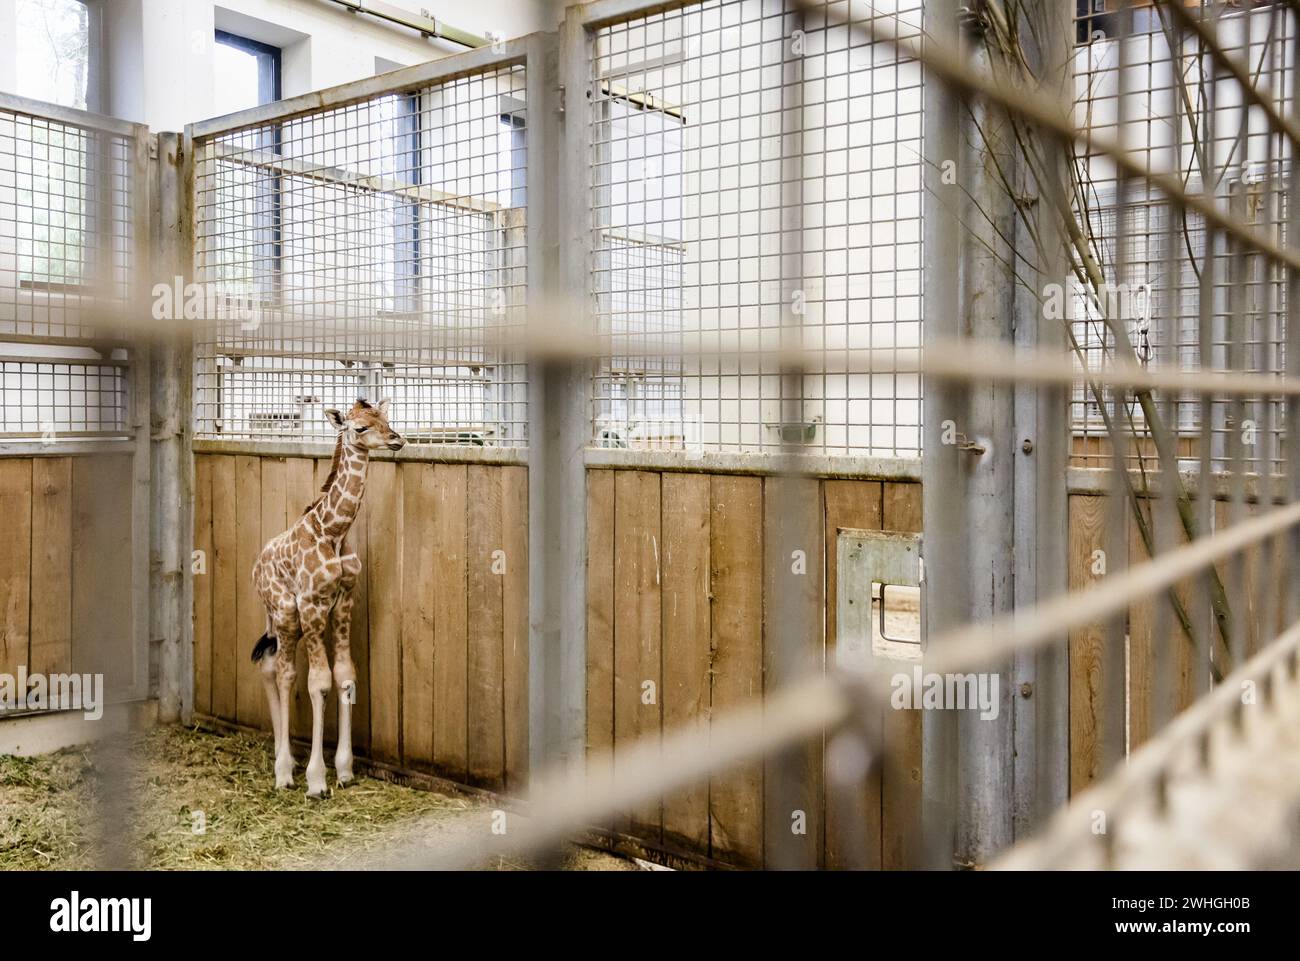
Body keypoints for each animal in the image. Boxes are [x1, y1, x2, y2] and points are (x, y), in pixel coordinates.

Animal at [250, 398, 405, 798]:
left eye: (385, 418)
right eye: (360, 428)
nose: (397, 439)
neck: (333, 532)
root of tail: (256, 569)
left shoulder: (344, 602)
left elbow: (345, 675)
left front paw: (345, 770)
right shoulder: (311, 605)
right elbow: (317, 684)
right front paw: (317, 780)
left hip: (279, 619)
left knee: (269, 666)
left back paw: (285, 758)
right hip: (286, 612)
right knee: (285, 673)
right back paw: (284, 771)